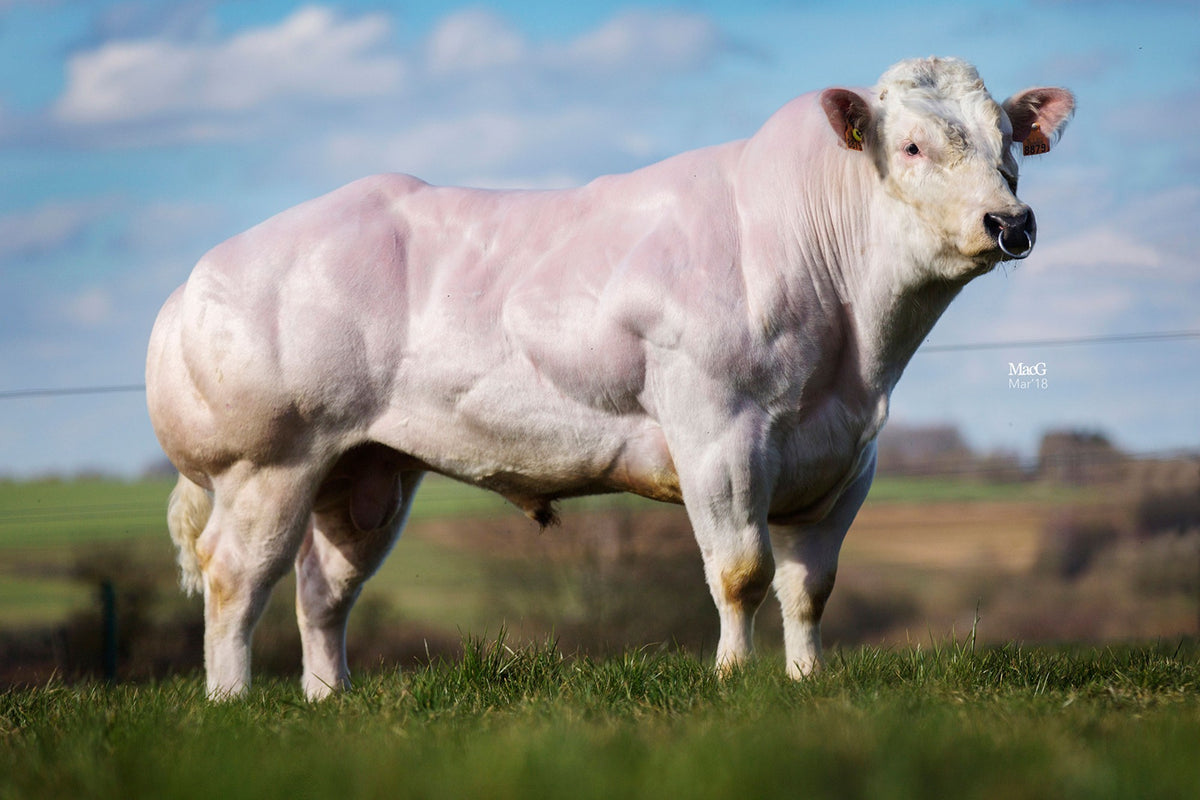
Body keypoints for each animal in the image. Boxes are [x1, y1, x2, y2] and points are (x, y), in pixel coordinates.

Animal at [146, 57, 1073, 699]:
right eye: (912, 145)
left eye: (1008, 146)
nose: (1010, 222)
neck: (856, 351)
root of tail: (195, 281)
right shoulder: (717, 433)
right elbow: (741, 570)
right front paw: (733, 680)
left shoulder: (848, 458)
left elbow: (810, 587)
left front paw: (805, 682)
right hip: (267, 461)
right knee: (236, 575)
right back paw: (230, 698)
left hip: (365, 471)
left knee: (321, 589)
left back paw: (327, 696)